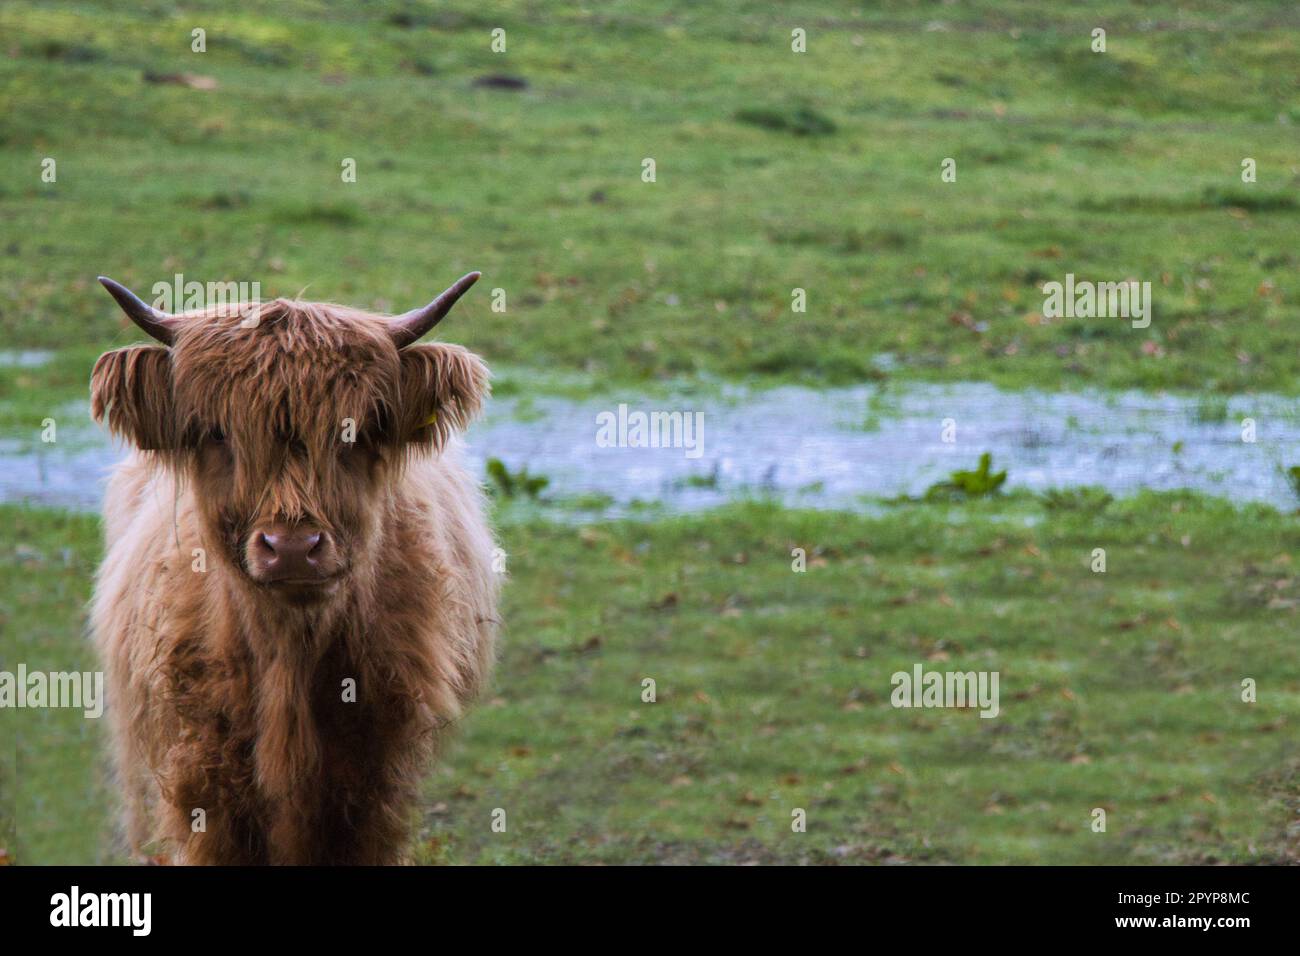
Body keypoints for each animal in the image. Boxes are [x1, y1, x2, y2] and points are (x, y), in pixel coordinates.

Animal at [89, 273, 499, 864]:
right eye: (217, 431)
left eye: (354, 432)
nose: (291, 547)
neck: (288, 656)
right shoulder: (202, 788)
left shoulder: (372, 790)